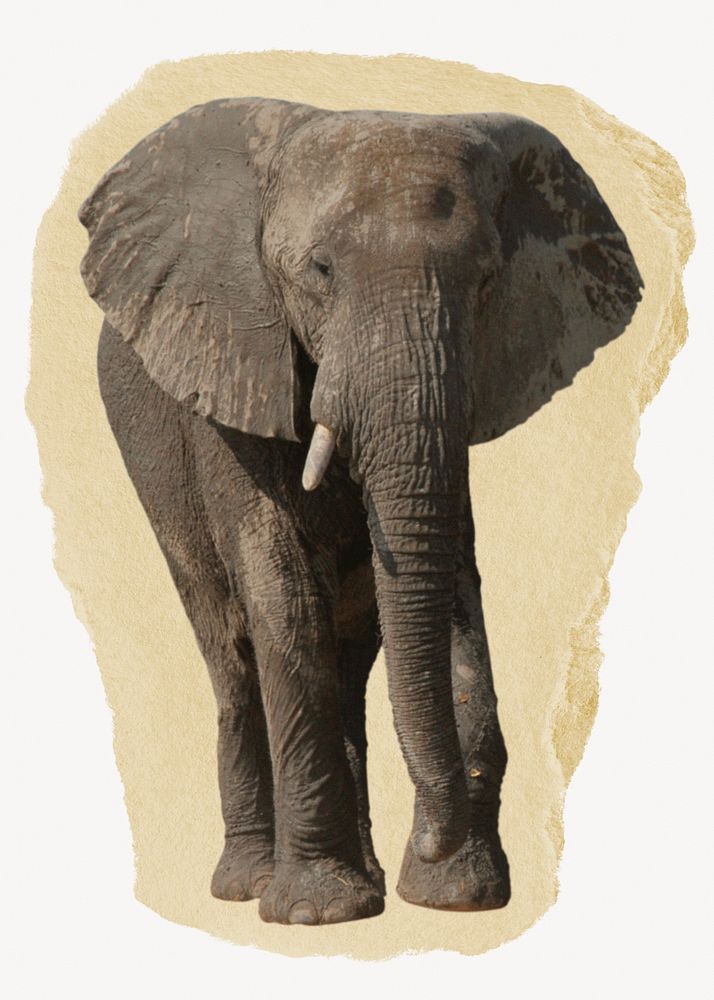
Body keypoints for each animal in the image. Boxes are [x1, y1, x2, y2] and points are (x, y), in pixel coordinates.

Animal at [78, 97, 642, 926]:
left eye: (486, 280)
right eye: (319, 270)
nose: (435, 839)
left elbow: (454, 578)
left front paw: (457, 895)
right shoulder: (229, 366)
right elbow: (281, 592)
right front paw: (315, 913)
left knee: (348, 656)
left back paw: (363, 880)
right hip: (153, 475)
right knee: (230, 650)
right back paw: (250, 885)